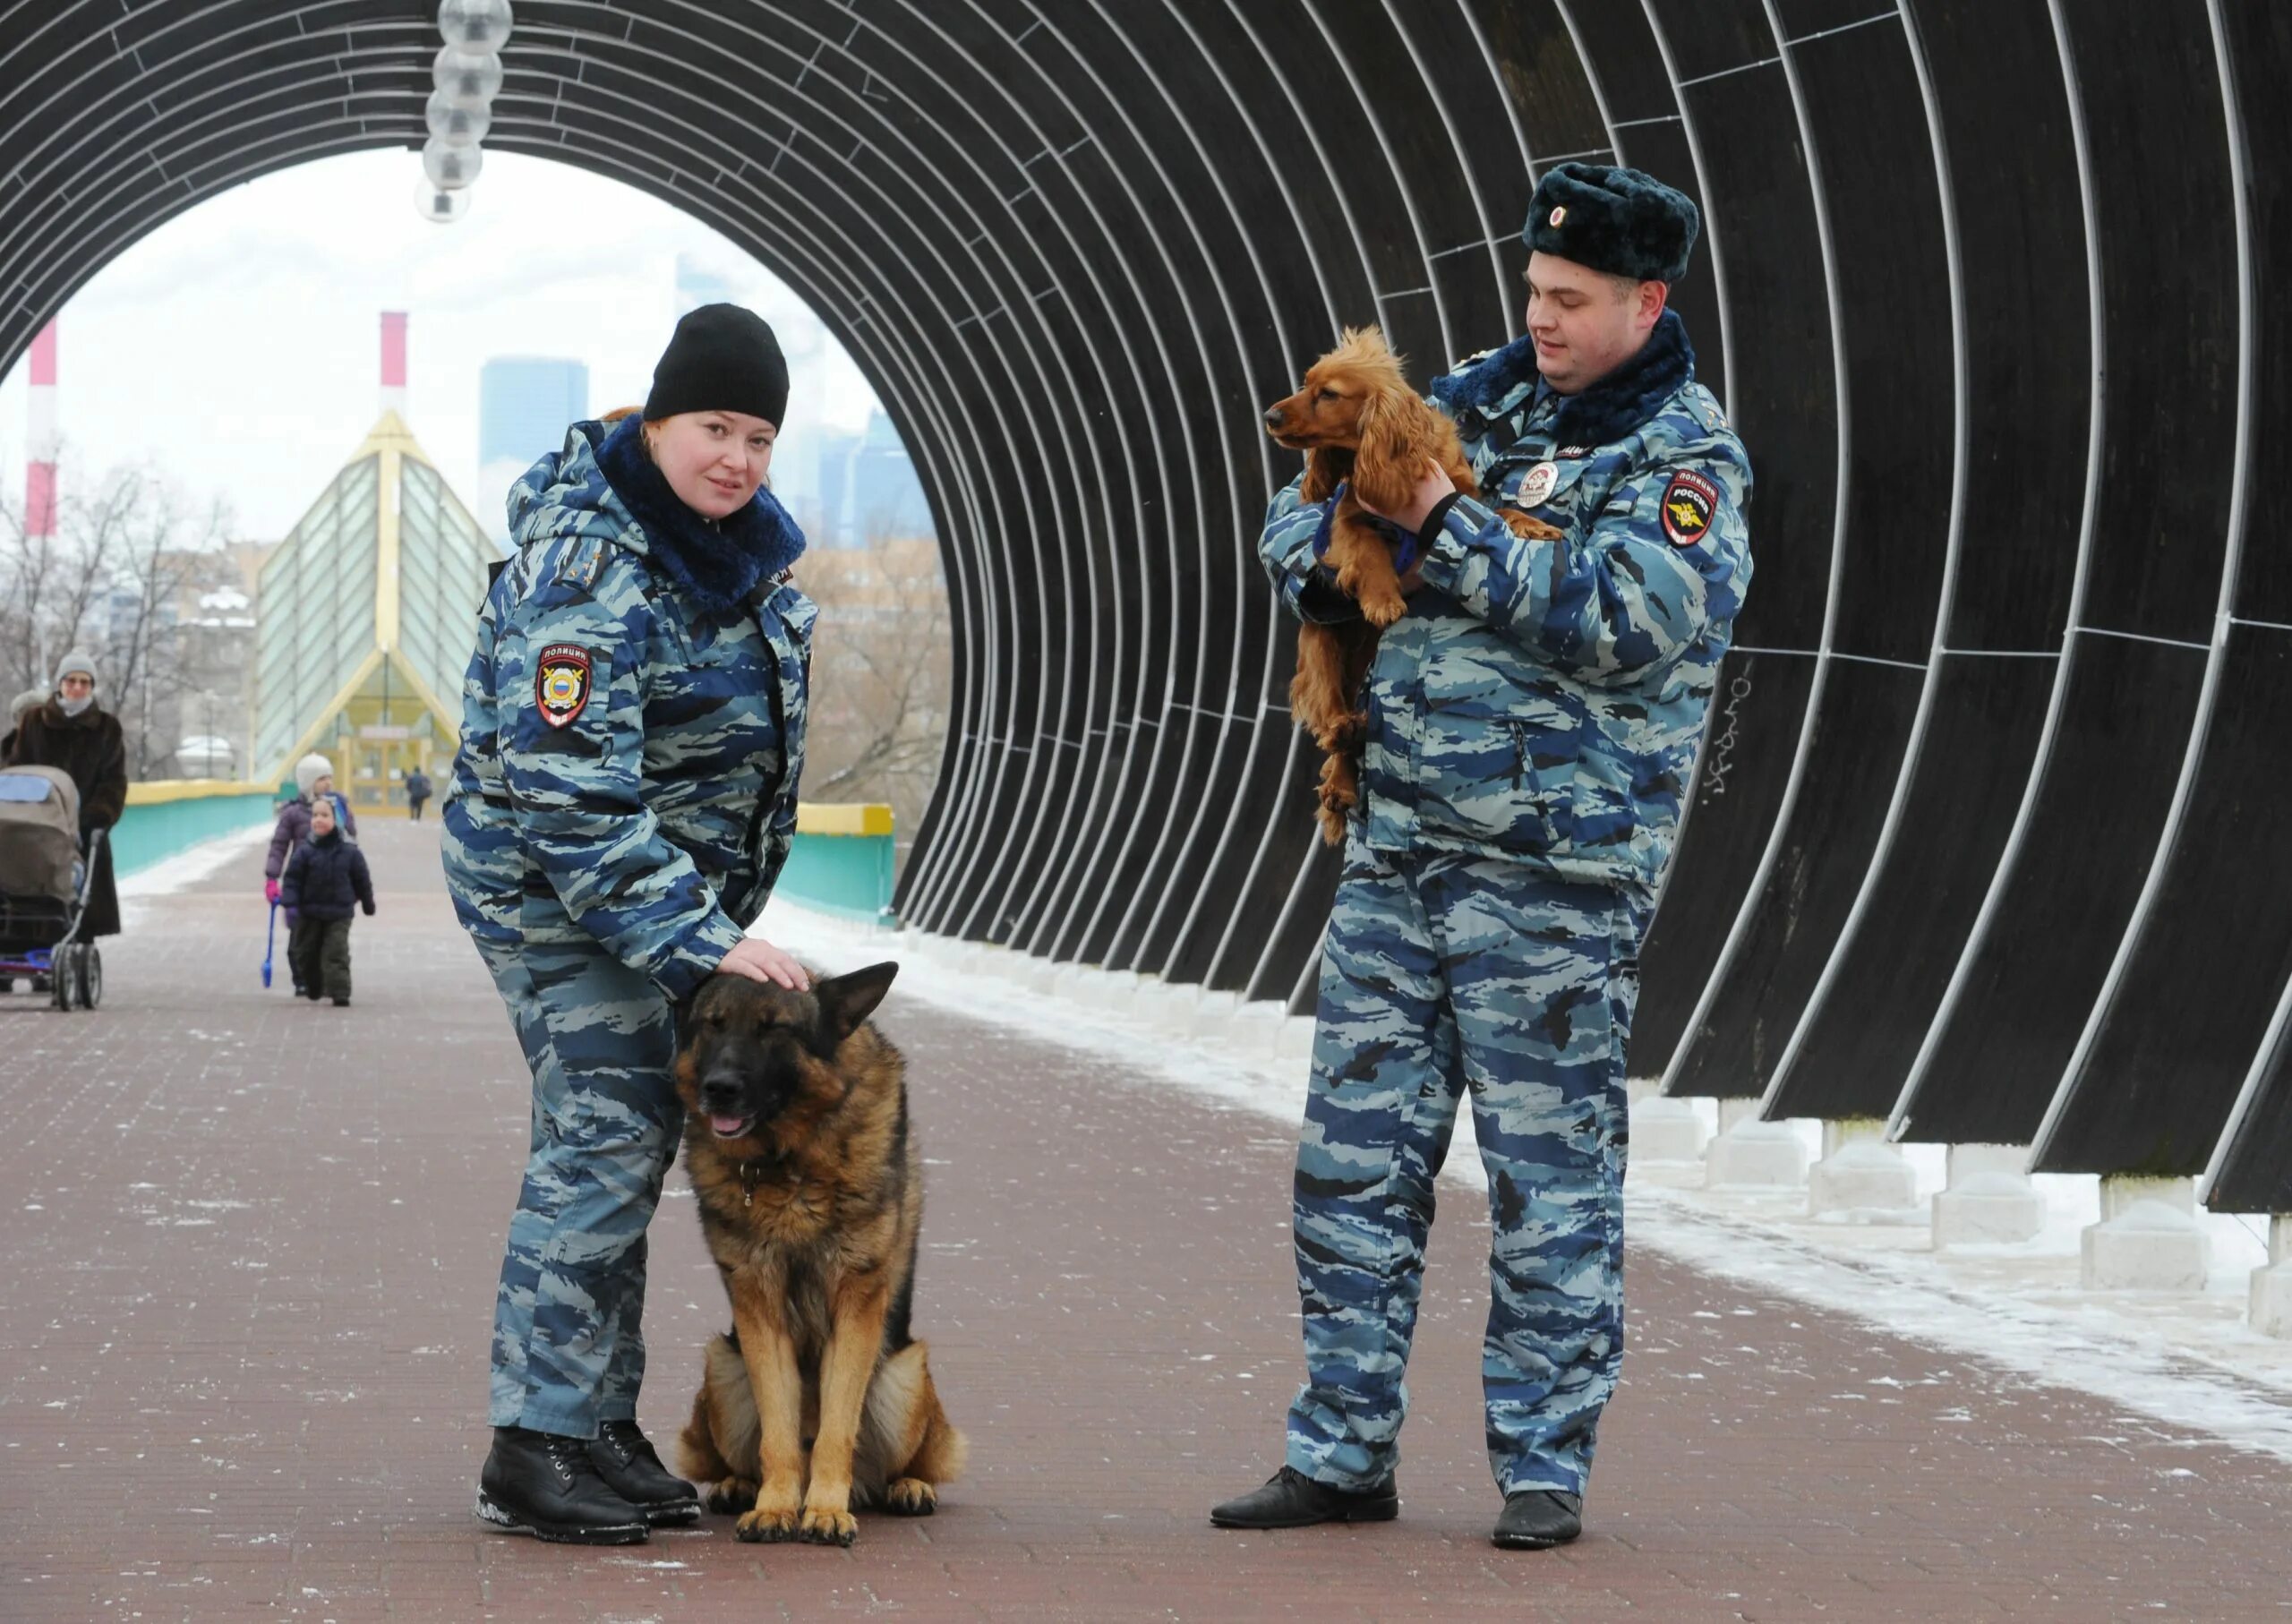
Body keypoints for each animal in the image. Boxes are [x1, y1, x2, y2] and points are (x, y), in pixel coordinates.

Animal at [673, 962, 971, 1548]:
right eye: (713, 1025)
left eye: (773, 1030)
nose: (719, 1089)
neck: (788, 1160)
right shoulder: (760, 1311)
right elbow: (779, 1435)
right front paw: (775, 1507)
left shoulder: (855, 1309)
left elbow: (837, 1428)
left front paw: (826, 1510)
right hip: (724, 1369)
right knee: (742, 1453)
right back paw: (740, 1486)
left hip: (904, 1376)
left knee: (909, 1461)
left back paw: (906, 1487)